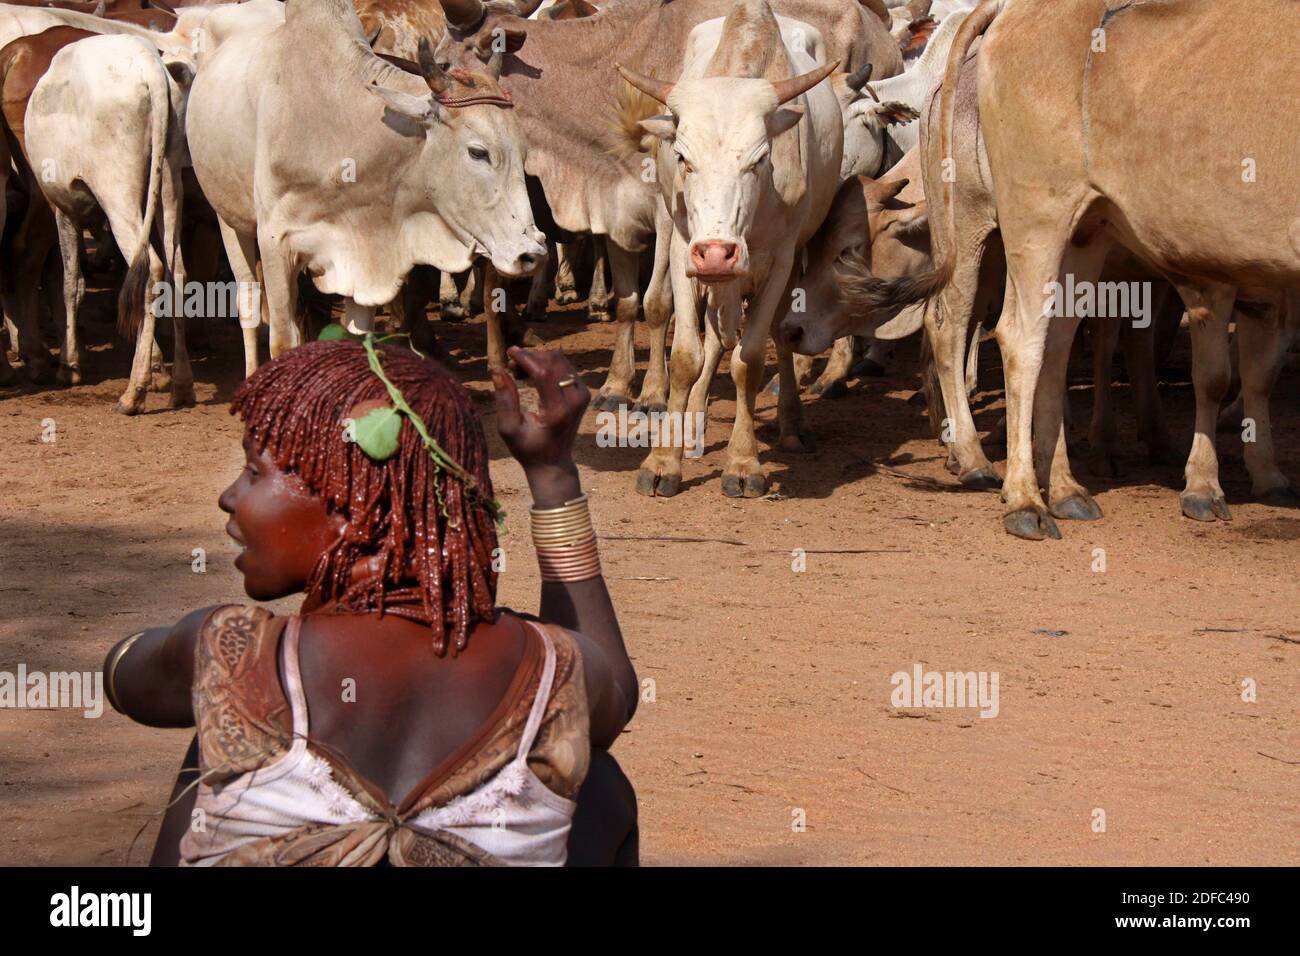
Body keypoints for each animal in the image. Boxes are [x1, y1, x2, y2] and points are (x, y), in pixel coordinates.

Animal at [185, 0, 546, 377]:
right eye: (478, 152)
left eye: (523, 152)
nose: (531, 252)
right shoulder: (275, 244)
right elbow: (283, 340)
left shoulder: (363, 259)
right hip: (229, 220)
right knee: (249, 305)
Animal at [619, 0, 842, 498]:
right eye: (683, 157)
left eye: (759, 159)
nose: (718, 253)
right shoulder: (685, 249)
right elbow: (687, 355)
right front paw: (663, 460)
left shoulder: (779, 258)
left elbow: (749, 359)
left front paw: (743, 462)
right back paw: (691, 422)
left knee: (773, 335)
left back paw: (791, 424)